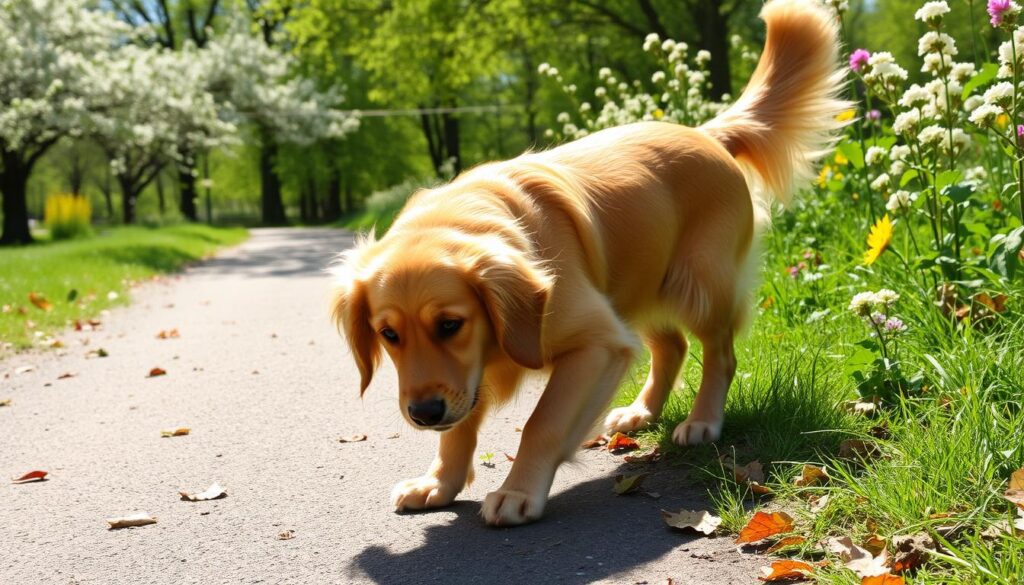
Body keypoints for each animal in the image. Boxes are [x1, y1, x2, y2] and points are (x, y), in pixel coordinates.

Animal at [331, 0, 843, 524]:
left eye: (451, 324)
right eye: (388, 334)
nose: (423, 414)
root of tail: (705, 132)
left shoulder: (597, 342)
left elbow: (542, 423)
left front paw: (518, 491)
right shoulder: (476, 375)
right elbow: (459, 429)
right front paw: (438, 483)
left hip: (697, 284)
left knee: (720, 354)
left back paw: (702, 422)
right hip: (636, 287)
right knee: (672, 346)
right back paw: (640, 411)